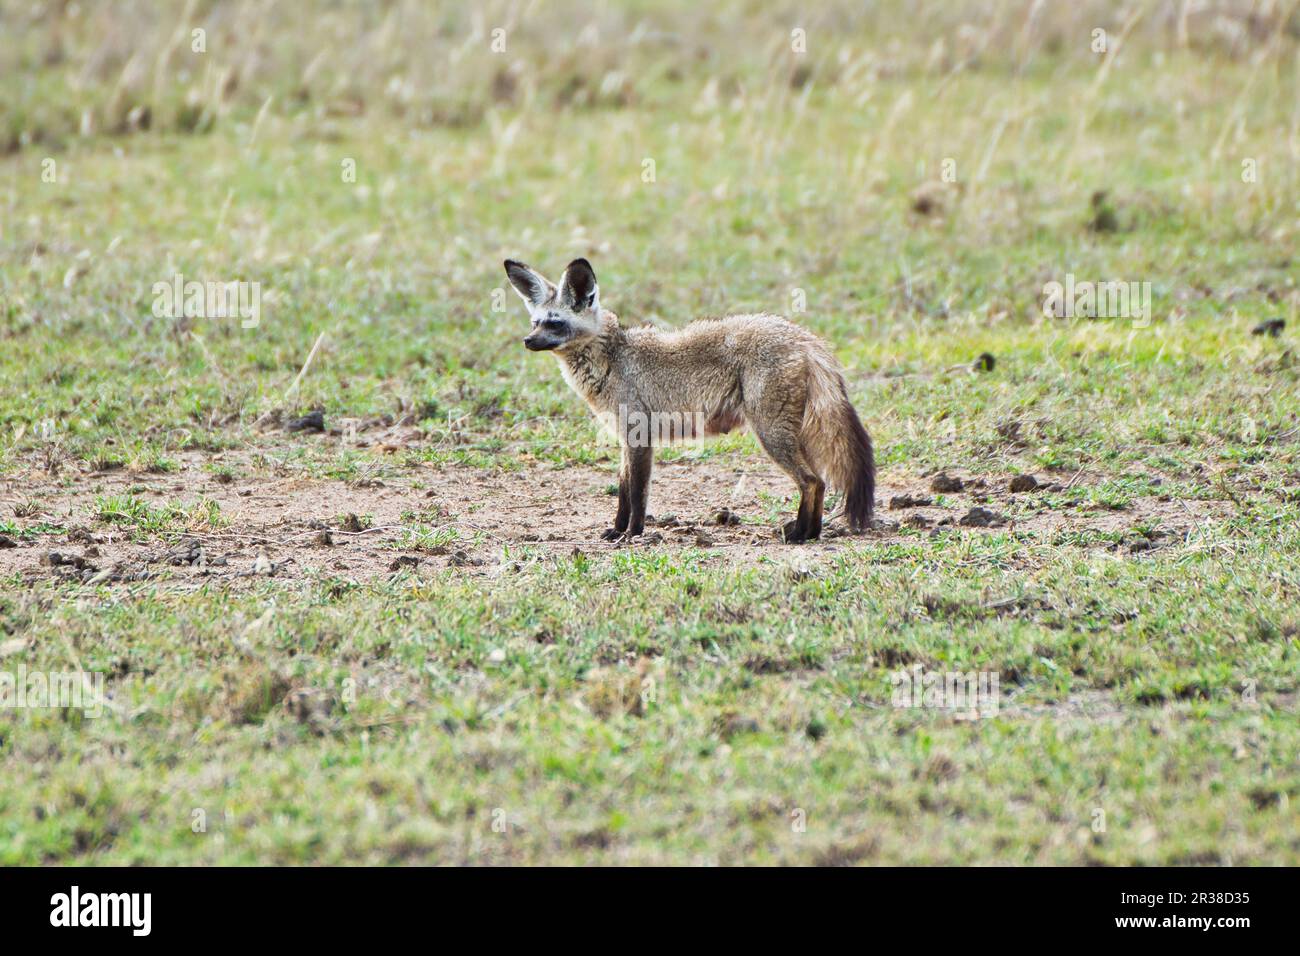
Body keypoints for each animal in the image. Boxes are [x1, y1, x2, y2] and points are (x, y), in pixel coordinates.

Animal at [505, 257, 875, 543]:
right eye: (535, 322)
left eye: (555, 324)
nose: (527, 341)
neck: (612, 358)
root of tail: (803, 337)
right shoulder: (626, 440)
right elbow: (623, 492)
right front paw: (617, 531)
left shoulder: (640, 439)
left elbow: (637, 495)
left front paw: (633, 535)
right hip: (790, 436)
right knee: (820, 482)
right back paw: (811, 533)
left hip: (772, 435)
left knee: (811, 481)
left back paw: (799, 535)